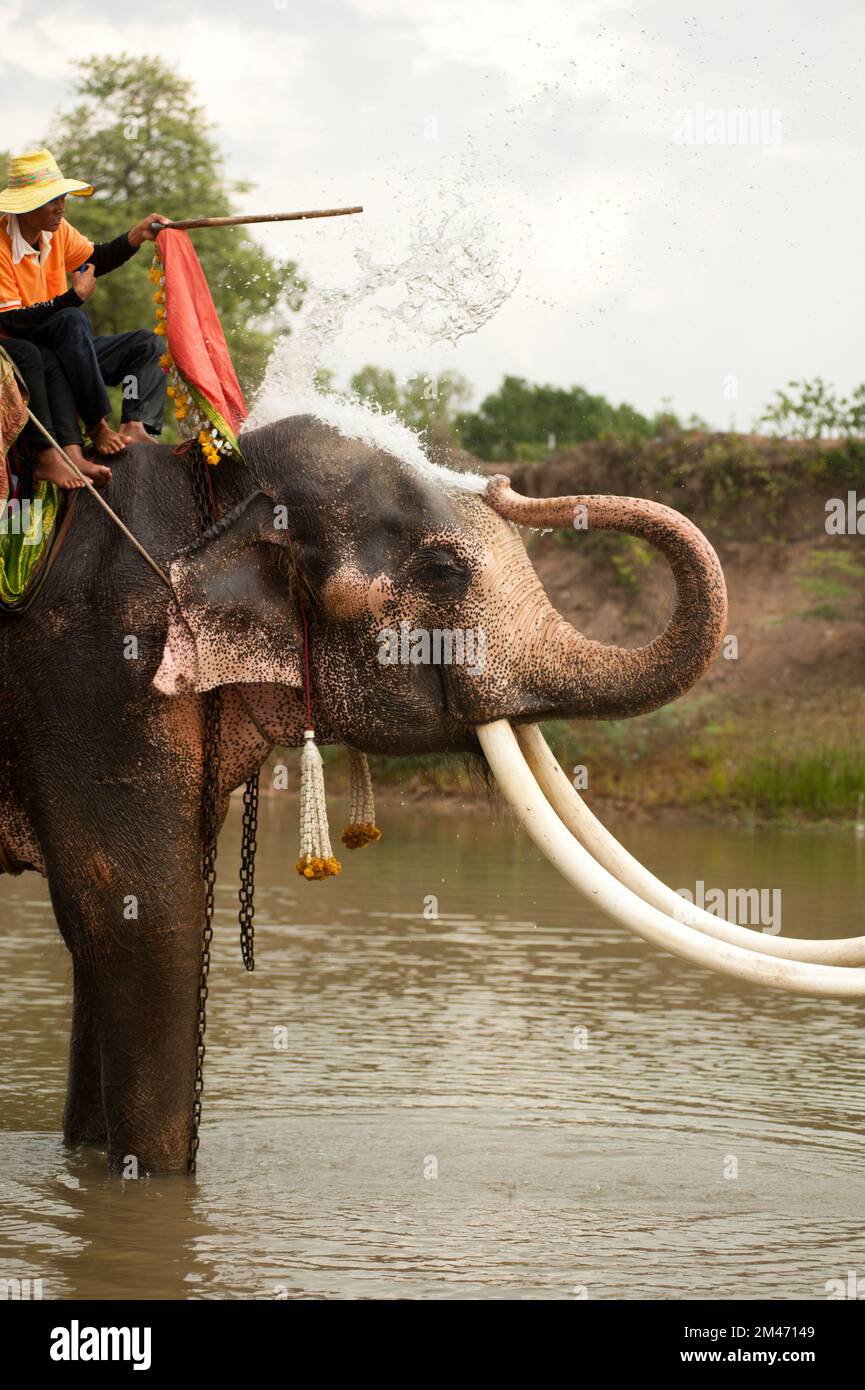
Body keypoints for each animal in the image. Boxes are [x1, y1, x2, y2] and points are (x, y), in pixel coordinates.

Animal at [2, 413, 864, 1175]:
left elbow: (101, 938)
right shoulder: (103, 667)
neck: (212, 485)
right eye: (443, 571)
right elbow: (142, 918)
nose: (507, 481)